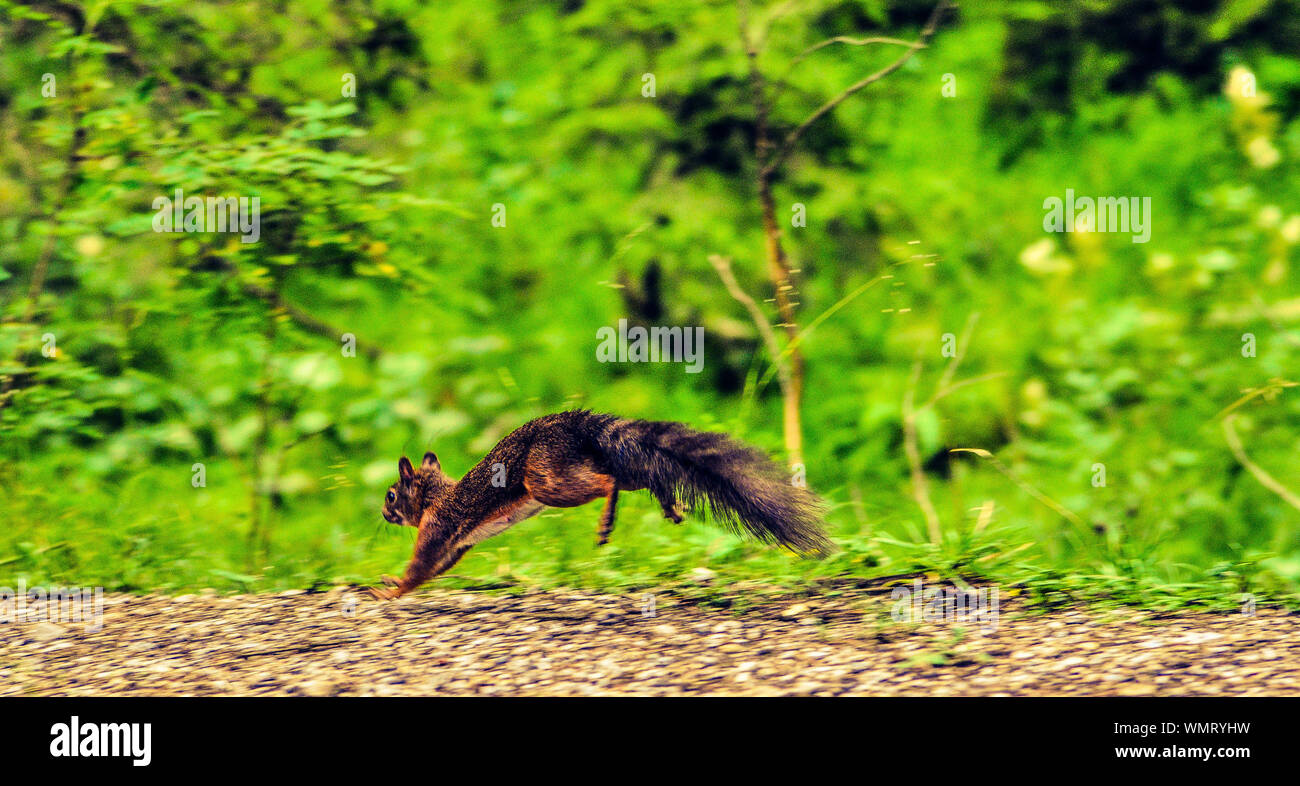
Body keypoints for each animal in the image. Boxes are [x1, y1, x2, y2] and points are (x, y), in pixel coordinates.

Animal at [369, 410, 832, 599]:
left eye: (391, 495)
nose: (383, 513)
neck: (435, 493)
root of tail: (577, 426)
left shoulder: (439, 525)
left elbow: (422, 563)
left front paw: (391, 591)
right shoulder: (457, 542)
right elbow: (437, 567)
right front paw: (393, 583)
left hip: (545, 478)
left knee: (608, 483)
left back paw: (606, 524)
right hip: (587, 463)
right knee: (644, 473)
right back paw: (669, 506)